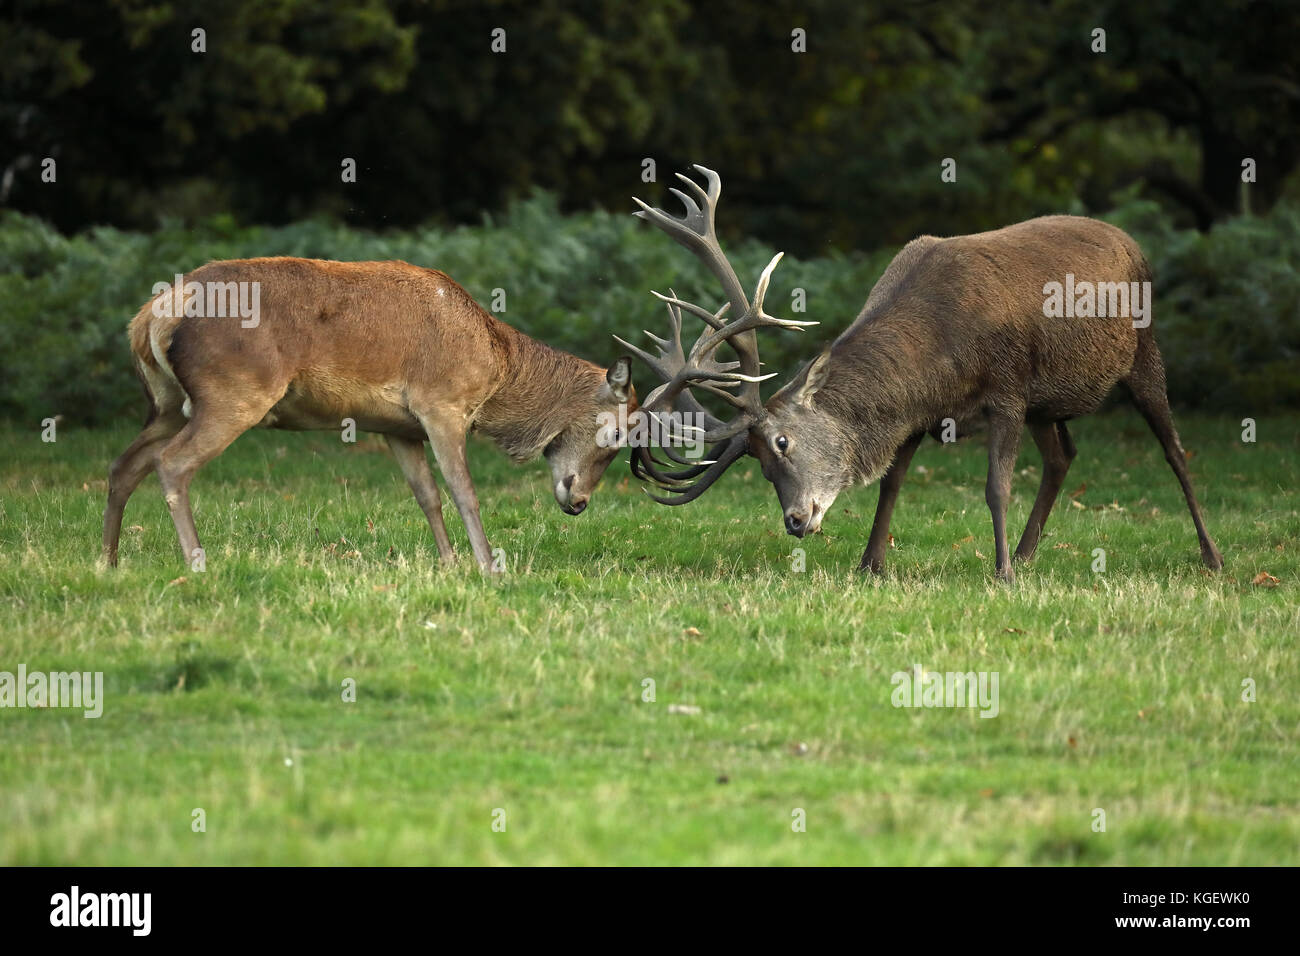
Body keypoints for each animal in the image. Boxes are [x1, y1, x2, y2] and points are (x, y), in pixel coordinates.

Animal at [102, 257, 636, 574]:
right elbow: (463, 491)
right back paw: (198, 563)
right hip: (234, 390)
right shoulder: (441, 402)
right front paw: (489, 567)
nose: (580, 501)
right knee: (172, 463)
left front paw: (449, 565)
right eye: (615, 437)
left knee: (124, 464)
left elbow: (426, 495)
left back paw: (108, 560)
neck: (494, 366)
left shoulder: (398, 426)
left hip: (165, 403)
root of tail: (151, 315)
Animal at [620, 165, 1223, 581]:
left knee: (1174, 450)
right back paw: (1029, 552)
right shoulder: (918, 413)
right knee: (1063, 455)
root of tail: (1130, 240)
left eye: (782, 443)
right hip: (1049, 401)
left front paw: (1000, 573)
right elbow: (891, 483)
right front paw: (870, 564)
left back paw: (1210, 555)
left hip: (1144, 351)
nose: (794, 520)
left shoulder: (1008, 388)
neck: (939, 360)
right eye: (760, 465)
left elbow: (996, 486)